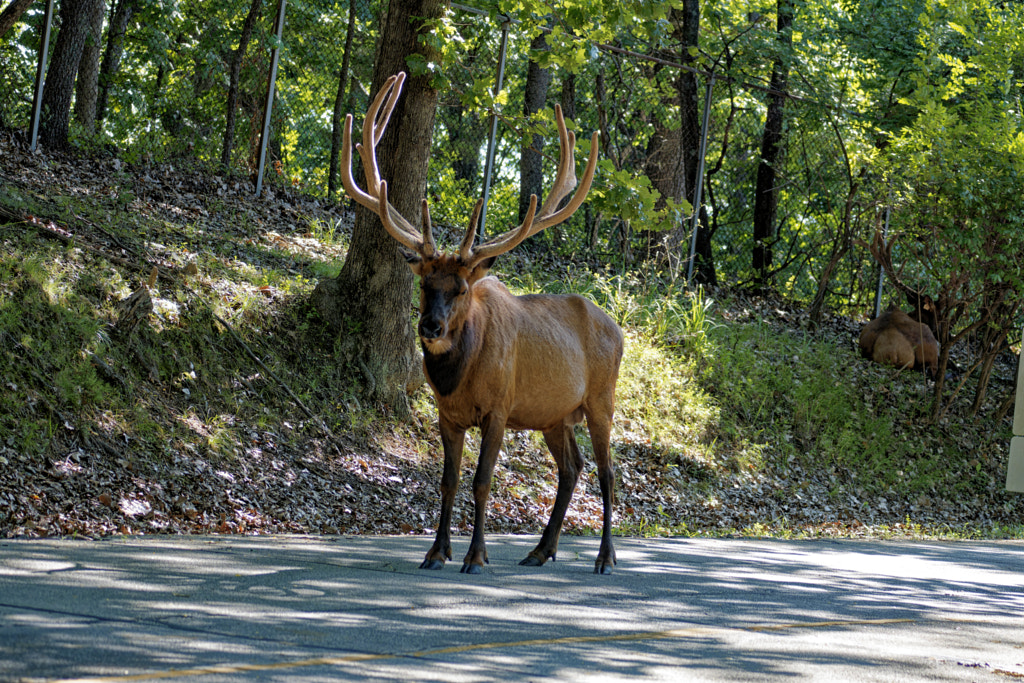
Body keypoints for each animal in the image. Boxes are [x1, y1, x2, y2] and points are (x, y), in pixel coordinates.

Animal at [340, 72, 624, 575]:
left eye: (460, 289)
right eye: (424, 284)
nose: (431, 327)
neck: (460, 376)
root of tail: (621, 330)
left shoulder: (499, 408)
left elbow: (482, 480)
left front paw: (475, 556)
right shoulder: (447, 414)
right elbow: (449, 481)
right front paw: (436, 552)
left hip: (600, 398)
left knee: (608, 473)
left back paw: (605, 557)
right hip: (554, 414)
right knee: (572, 468)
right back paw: (540, 550)